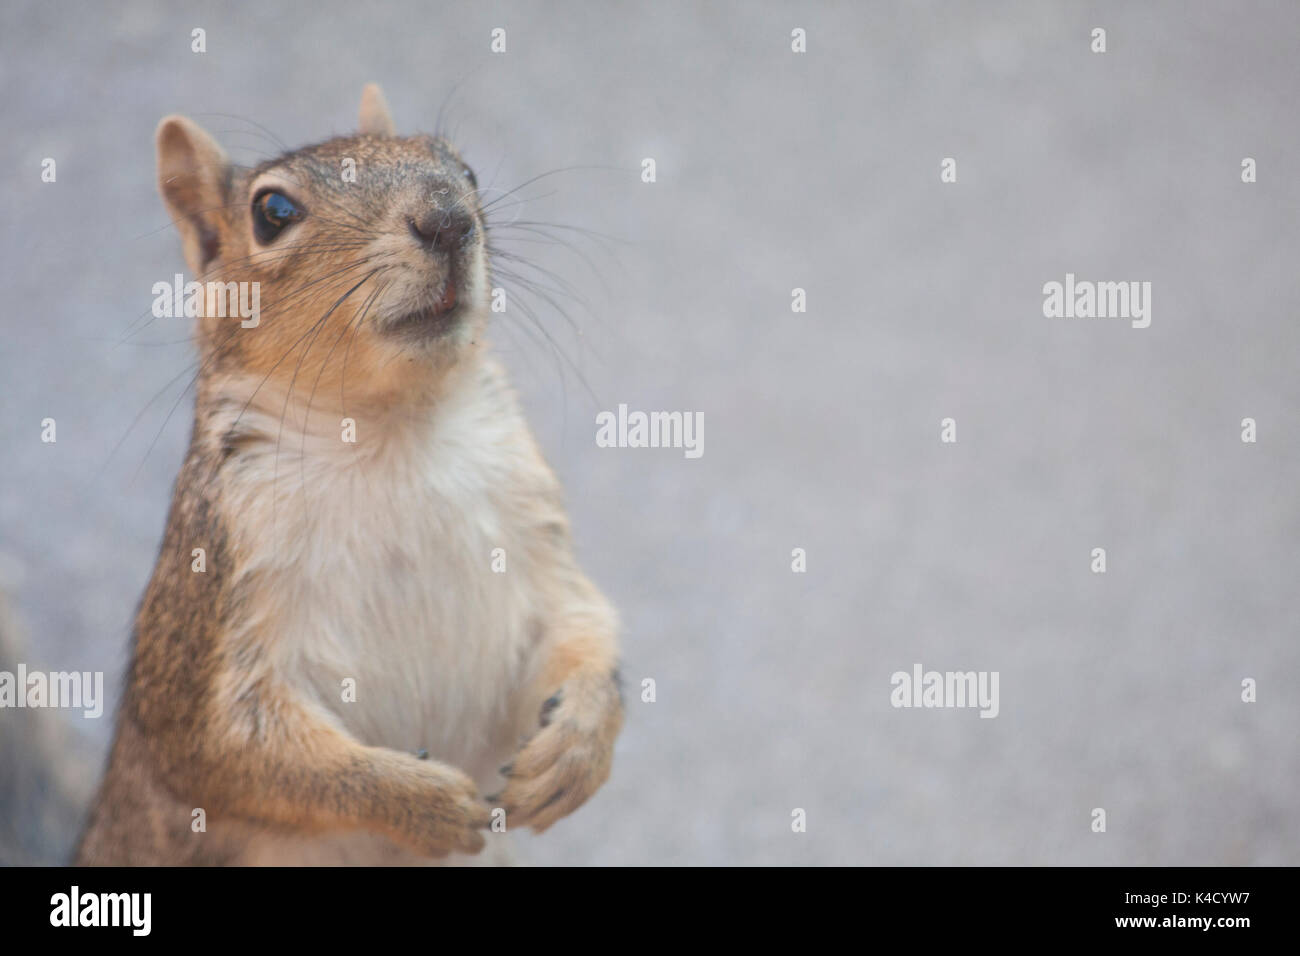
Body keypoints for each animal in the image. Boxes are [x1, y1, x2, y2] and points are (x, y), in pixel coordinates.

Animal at [75, 85, 623, 865]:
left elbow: (579, 625)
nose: (448, 219)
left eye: (464, 169)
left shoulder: (534, 535)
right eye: (272, 212)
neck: (391, 436)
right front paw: (419, 800)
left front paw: (579, 742)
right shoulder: (212, 607)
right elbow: (235, 746)